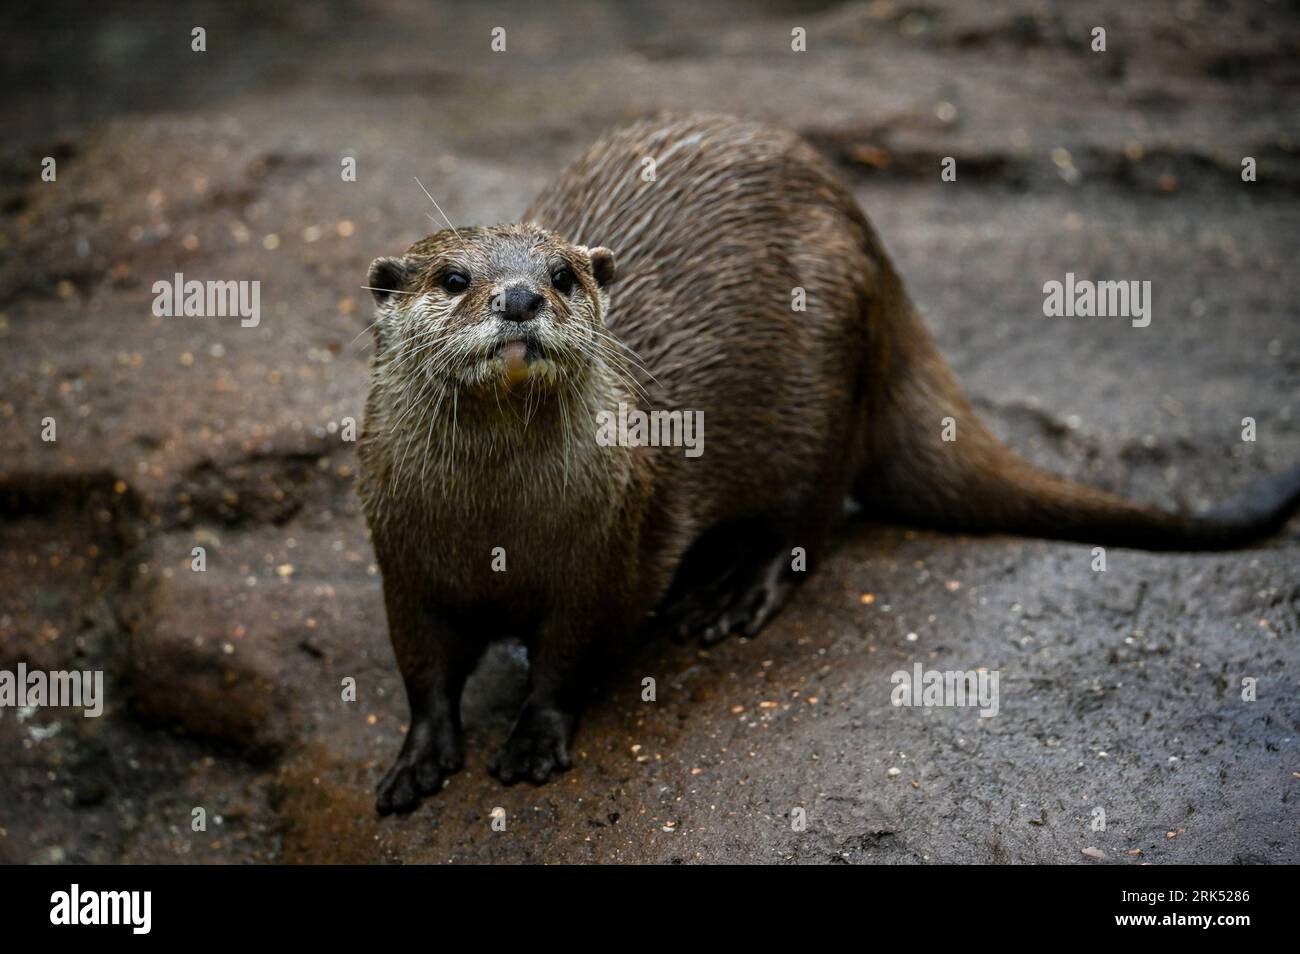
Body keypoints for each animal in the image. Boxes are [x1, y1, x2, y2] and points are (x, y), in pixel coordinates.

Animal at [358, 114, 1300, 815]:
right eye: (452, 278)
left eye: (562, 274)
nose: (520, 297)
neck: (497, 529)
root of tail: (876, 250)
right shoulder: (400, 559)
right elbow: (422, 666)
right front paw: (416, 760)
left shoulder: (608, 554)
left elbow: (570, 653)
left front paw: (534, 738)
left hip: (825, 383)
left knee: (811, 516)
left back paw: (733, 593)